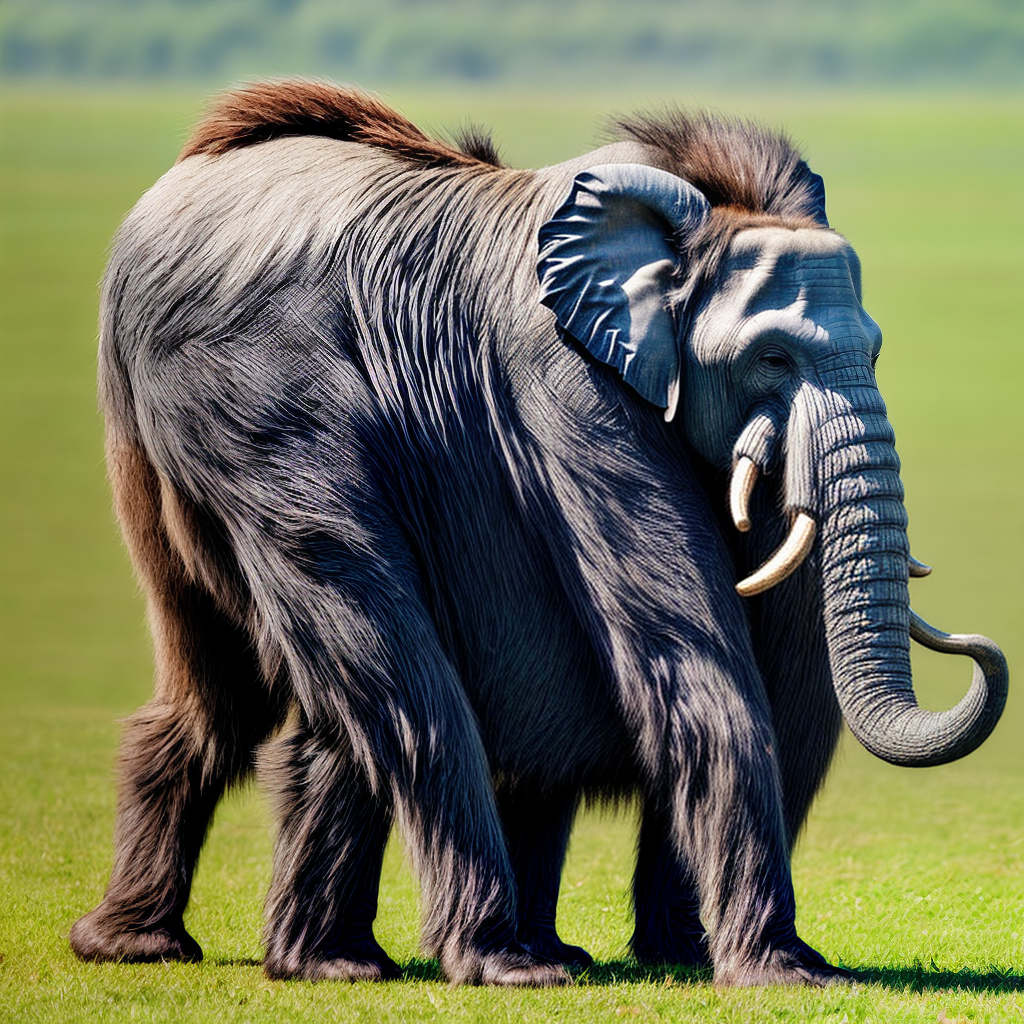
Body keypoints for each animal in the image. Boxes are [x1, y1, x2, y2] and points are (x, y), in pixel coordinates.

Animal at [70, 81, 1008, 987]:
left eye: (875, 354)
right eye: (771, 359)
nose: (976, 646)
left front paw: (692, 958)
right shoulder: (561, 380)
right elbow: (688, 650)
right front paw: (791, 977)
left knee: (224, 688)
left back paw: (200, 954)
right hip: (252, 403)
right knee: (382, 655)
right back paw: (503, 967)